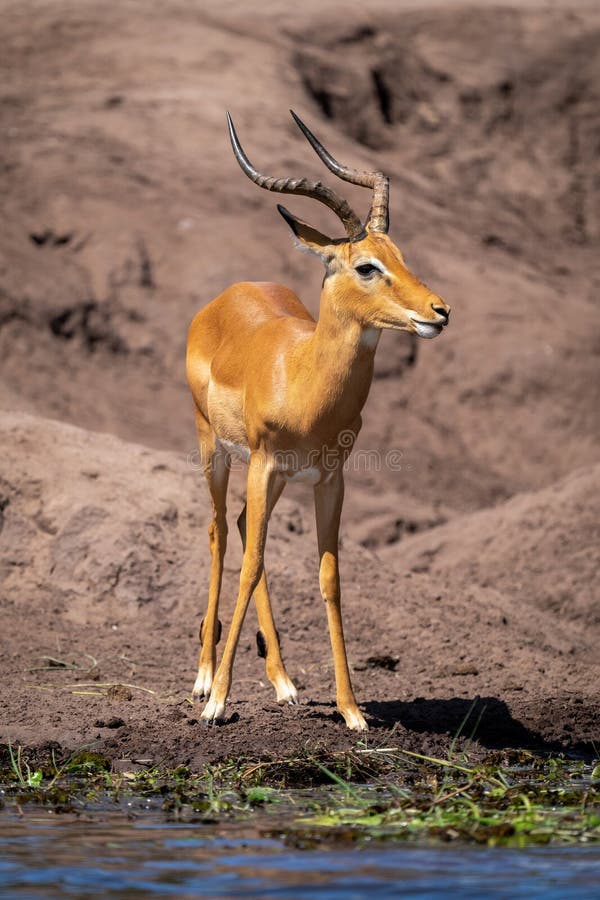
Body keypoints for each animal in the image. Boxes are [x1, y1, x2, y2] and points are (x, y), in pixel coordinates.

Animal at [186, 110, 450, 731]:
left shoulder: (330, 479)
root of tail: (229, 294)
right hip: (216, 452)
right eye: (366, 266)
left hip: (280, 479)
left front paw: (352, 710)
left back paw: (283, 683)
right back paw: (204, 678)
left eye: (400, 254)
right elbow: (252, 563)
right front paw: (218, 703)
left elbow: (329, 577)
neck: (304, 380)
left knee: (240, 527)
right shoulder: (262, 465)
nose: (439, 312)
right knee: (220, 533)